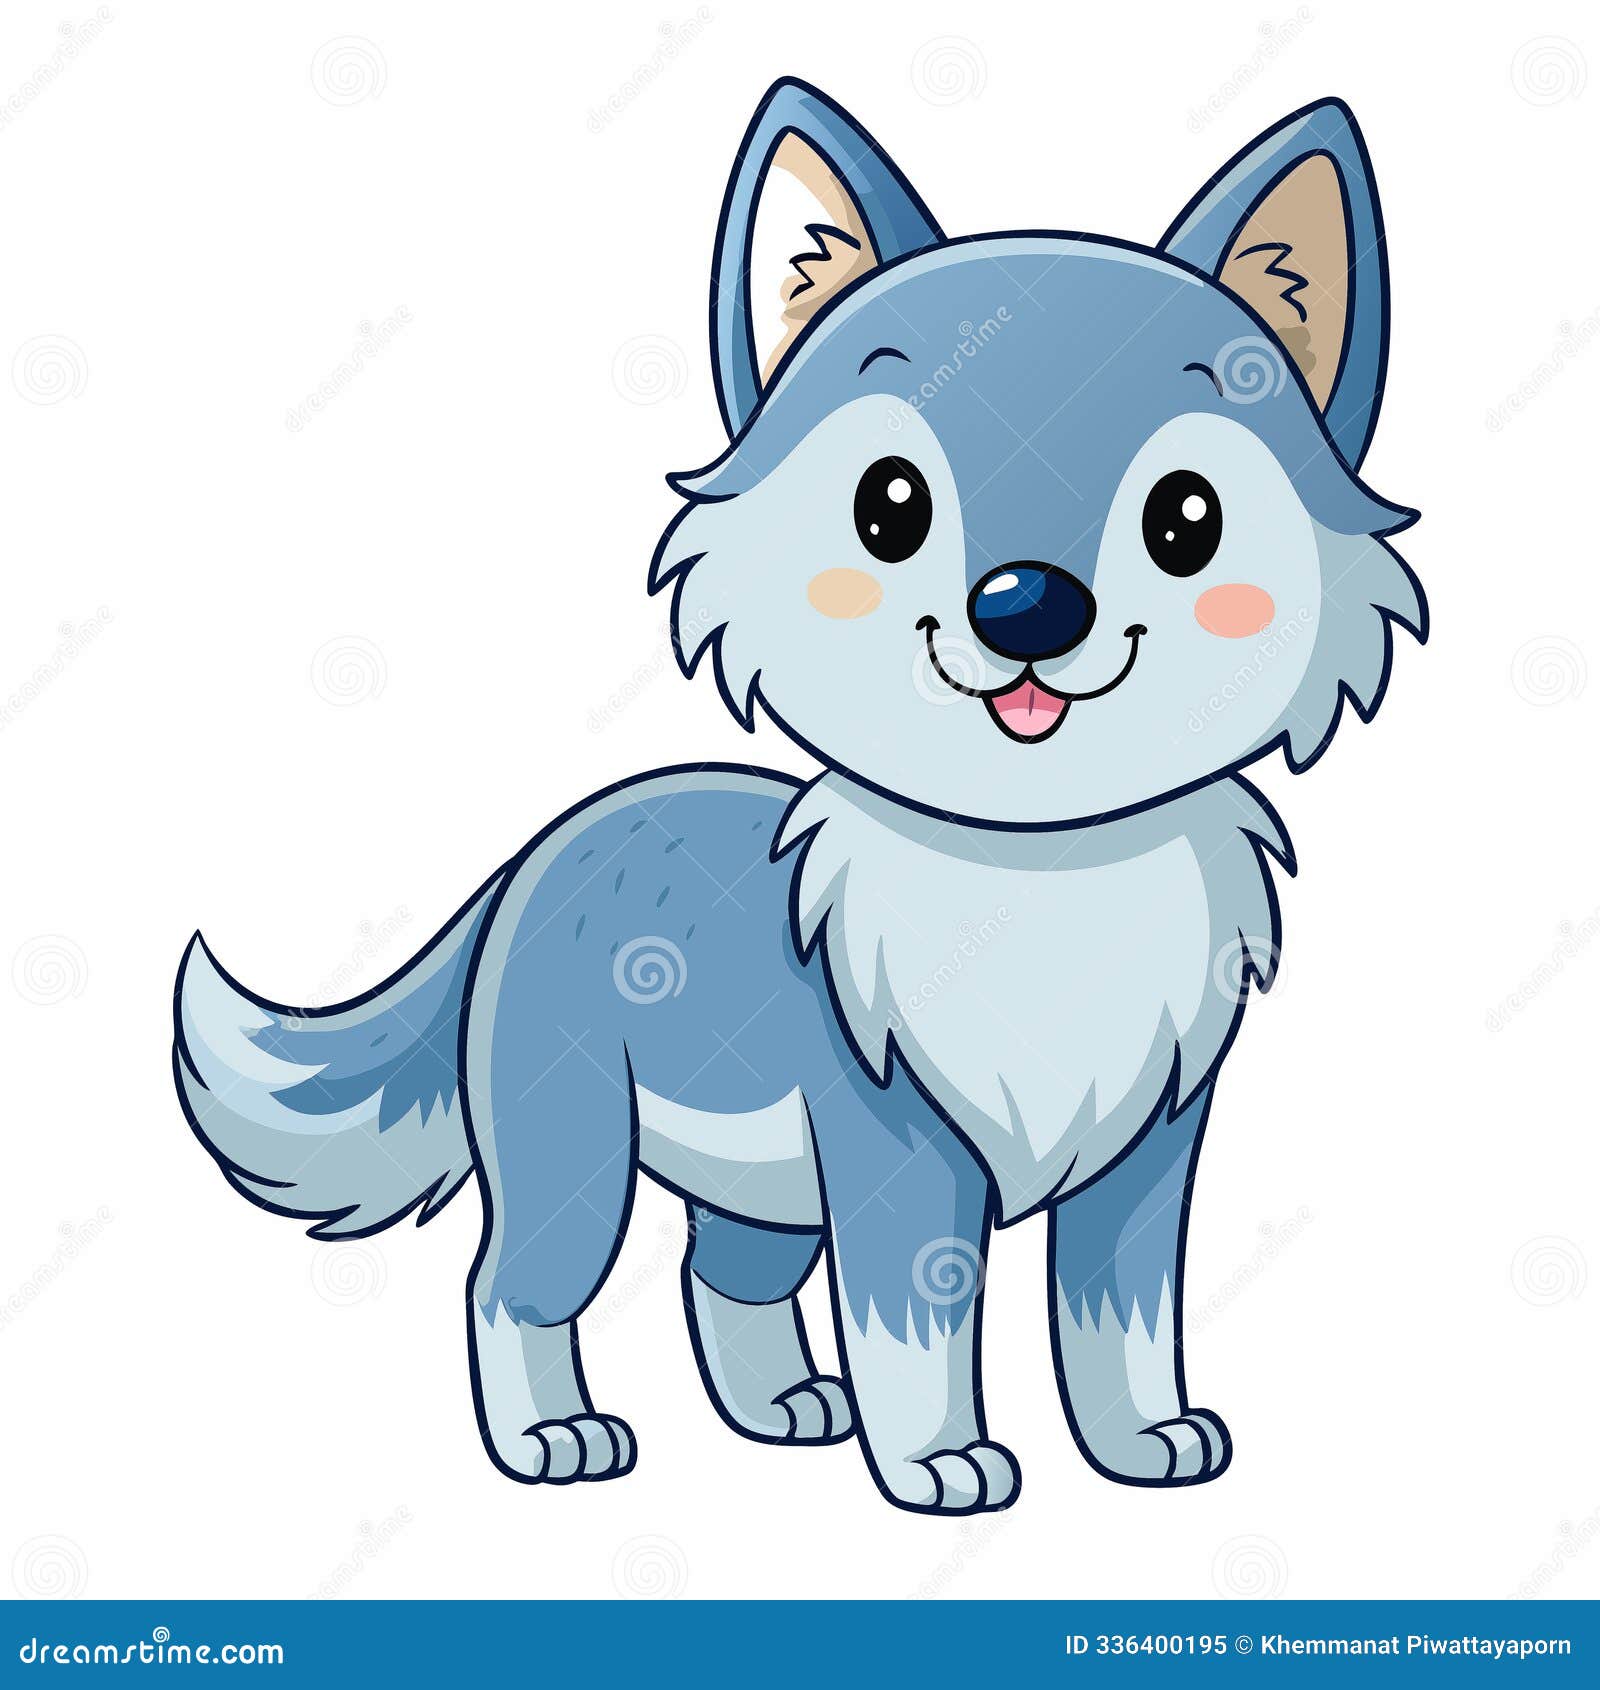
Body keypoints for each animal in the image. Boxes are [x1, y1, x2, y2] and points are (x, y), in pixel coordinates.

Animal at [174, 80, 1424, 1513]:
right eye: (890, 507)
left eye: (1185, 519)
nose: (1026, 603)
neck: (1037, 872)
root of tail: (548, 845)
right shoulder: (898, 1148)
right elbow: (922, 1325)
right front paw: (939, 1463)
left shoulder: (1149, 1148)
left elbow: (1121, 1319)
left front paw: (1140, 1446)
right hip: (576, 1149)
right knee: (512, 1283)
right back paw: (554, 1439)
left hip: (753, 1191)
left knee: (715, 1275)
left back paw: (779, 1407)